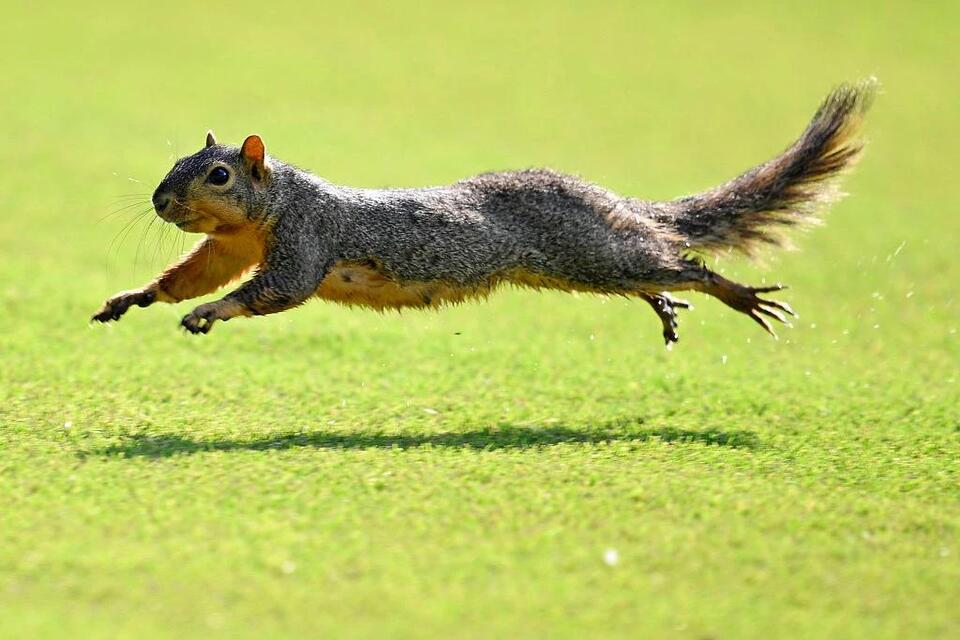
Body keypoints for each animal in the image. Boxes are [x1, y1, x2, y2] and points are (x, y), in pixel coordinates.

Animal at [93, 80, 875, 344]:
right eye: (177, 164)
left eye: (219, 174)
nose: (161, 201)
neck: (272, 205)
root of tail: (606, 199)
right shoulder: (232, 246)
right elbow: (193, 272)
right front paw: (137, 297)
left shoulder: (306, 241)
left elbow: (275, 290)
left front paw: (210, 313)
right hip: (591, 264)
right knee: (656, 268)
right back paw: (666, 305)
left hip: (591, 252)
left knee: (682, 262)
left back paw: (734, 293)